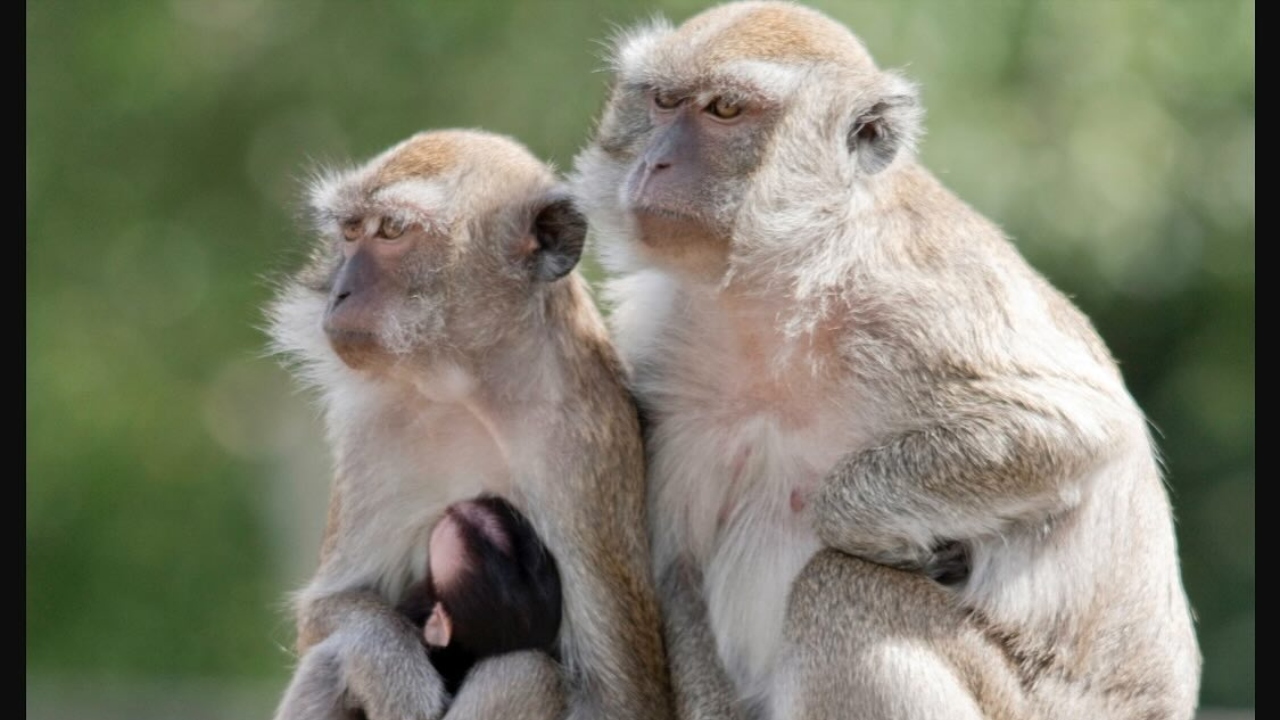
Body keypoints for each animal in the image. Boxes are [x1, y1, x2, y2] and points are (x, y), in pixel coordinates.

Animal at [570, 2, 1202, 718]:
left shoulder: (917, 301)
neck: (777, 287)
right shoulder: (663, 355)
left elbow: (1075, 427)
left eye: (724, 109)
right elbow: (678, 569)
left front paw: (873, 530)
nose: (656, 162)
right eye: (661, 101)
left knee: (838, 590)